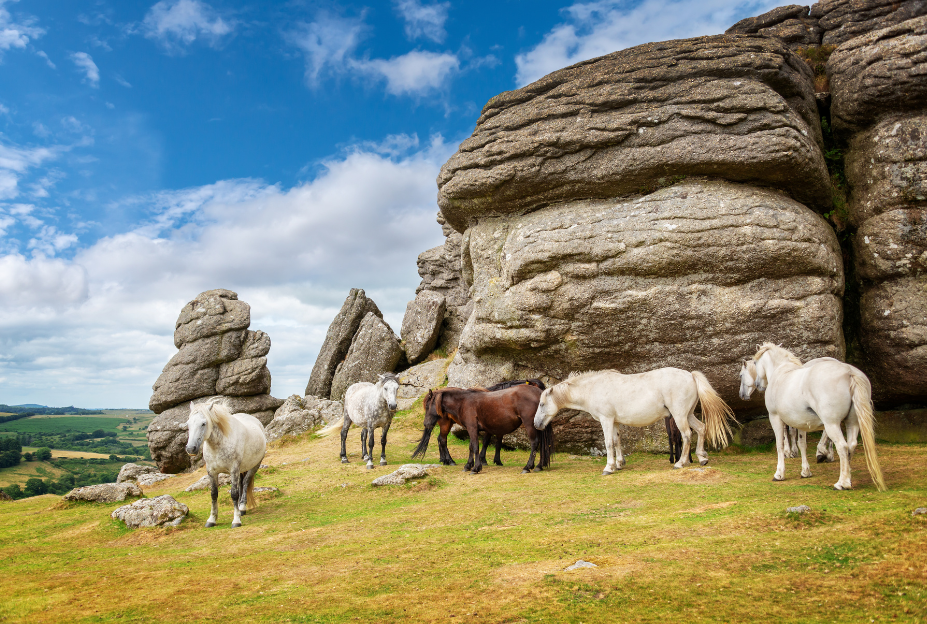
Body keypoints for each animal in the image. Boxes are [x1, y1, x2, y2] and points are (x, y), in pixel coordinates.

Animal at [184, 400, 267, 528]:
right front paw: (212, 520)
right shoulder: (212, 472)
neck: (219, 445)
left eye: (203, 423)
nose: (190, 449)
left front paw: (236, 520)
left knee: (245, 483)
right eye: (188, 424)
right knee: (241, 484)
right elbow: (213, 494)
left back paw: (242, 507)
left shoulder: (233, 470)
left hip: (254, 466)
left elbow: (234, 494)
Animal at [413, 385, 552, 474]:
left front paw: (476, 468)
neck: (464, 402)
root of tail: (538, 393)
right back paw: (539, 466)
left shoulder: (472, 428)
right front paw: (468, 466)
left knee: (535, 443)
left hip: (530, 424)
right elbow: (471, 447)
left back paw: (527, 467)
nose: (426, 424)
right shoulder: (471, 429)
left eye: (427, 406)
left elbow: (475, 447)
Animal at [534, 368, 735, 475]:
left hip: (679, 416)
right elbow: (617, 441)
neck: (593, 388)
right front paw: (619, 464)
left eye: (542, 404)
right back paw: (702, 458)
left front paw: (608, 467)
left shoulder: (606, 420)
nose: (537, 424)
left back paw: (681, 463)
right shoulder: (614, 422)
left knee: (686, 435)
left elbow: (608, 443)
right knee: (701, 429)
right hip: (688, 415)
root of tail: (690, 375)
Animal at [745, 344, 886, 491]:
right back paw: (848, 480)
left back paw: (841, 484)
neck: (781, 373)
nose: (758, 384)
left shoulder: (775, 418)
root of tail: (849, 372)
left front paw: (779, 474)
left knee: (842, 446)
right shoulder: (801, 423)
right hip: (852, 423)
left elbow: (780, 445)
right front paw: (805, 472)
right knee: (851, 445)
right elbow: (802, 444)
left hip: (832, 424)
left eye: (755, 362)